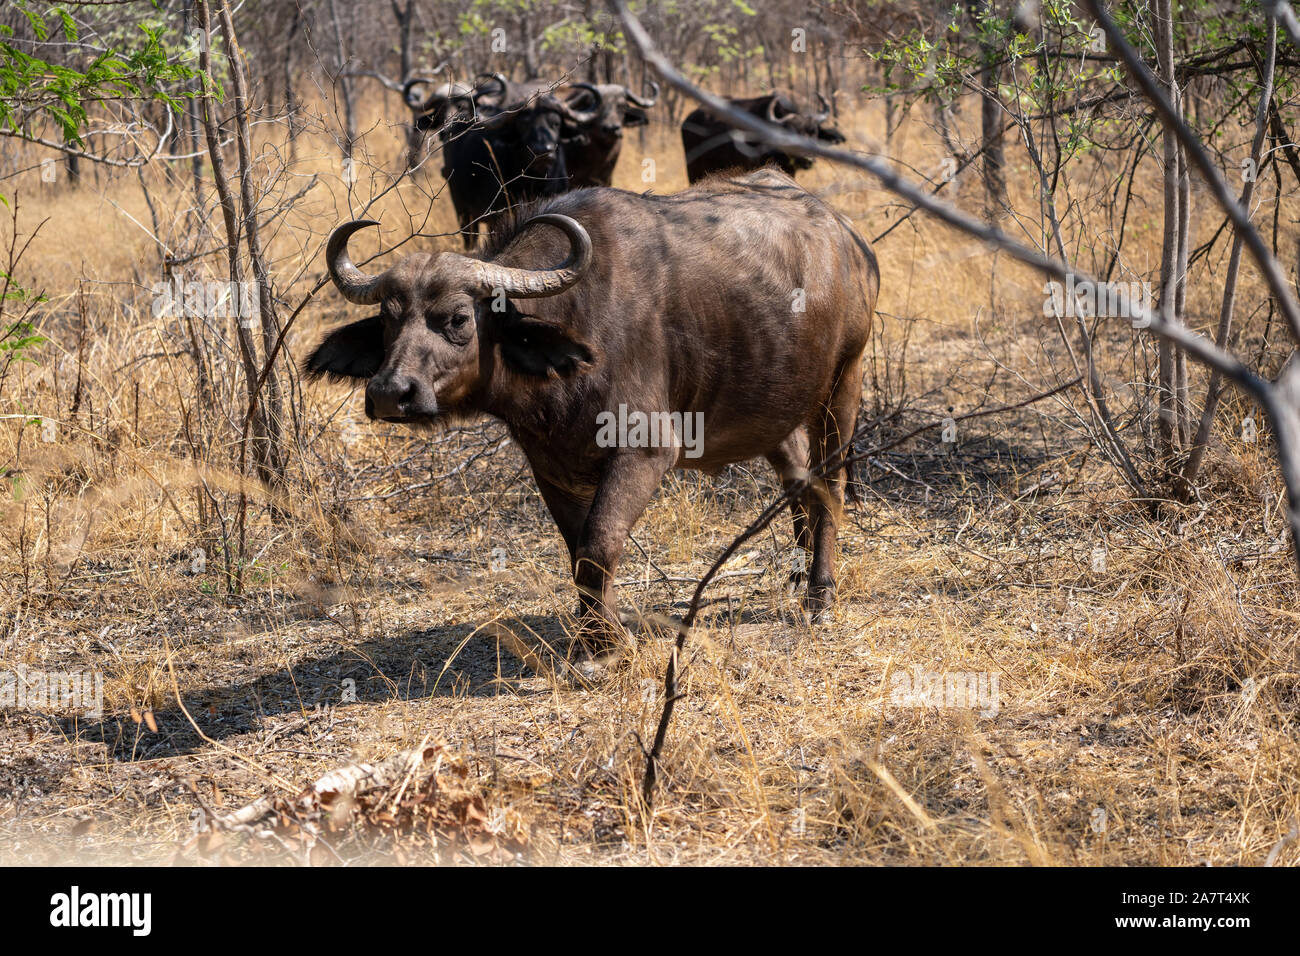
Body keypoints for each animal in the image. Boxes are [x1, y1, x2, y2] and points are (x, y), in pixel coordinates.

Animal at [306, 169, 879, 658]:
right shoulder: (551, 465)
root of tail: (848, 238)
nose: (389, 393)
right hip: (774, 410)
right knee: (799, 478)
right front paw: (592, 639)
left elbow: (599, 545)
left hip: (844, 382)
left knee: (831, 485)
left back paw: (819, 593)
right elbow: (576, 549)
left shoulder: (645, 450)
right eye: (388, 321)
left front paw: (605, 645)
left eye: (457, 319)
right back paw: (798, 574)